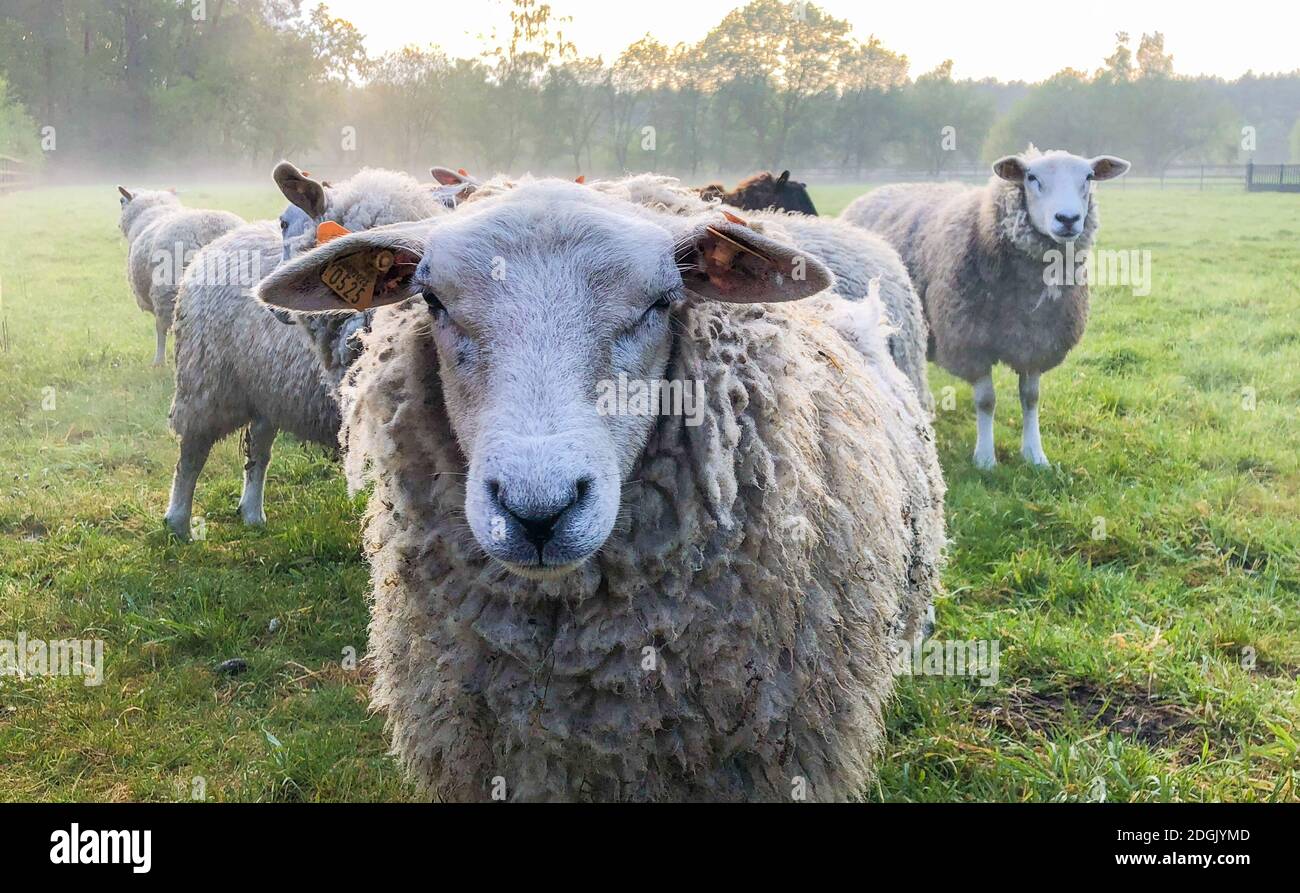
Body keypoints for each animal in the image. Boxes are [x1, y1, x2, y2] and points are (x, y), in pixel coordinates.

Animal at [162, 167, 450, 540]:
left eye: (284, 222)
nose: (269, 304)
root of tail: (223, 239)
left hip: (267, 388)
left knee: (258, 447)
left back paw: (251, 513)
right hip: (207, 378)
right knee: (192, 451)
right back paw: (178, 521)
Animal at [841, 146, 1130, 468]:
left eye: (1089, 177)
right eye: (1032, 178)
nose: (1067, 219)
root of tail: (878, 190)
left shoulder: (1037, 343)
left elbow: (1031, 397)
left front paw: (1034, 454)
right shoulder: (971, 342)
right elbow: (986, 401)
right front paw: (985, 458)